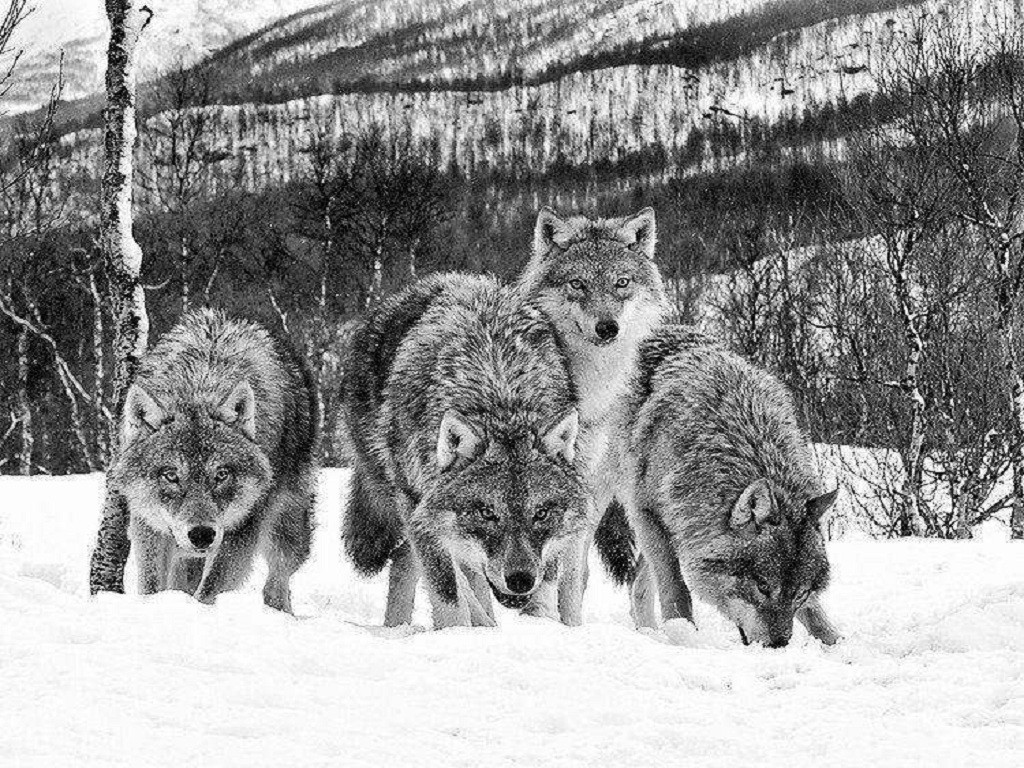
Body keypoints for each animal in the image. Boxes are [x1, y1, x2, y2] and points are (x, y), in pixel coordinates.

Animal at [102, 309, 319, 612]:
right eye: (171, 475)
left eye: (221, 475)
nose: (202, 534)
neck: (200, 384)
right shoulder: (149, 523)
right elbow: (152, 585)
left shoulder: (242, 527)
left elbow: (208, 590)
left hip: (286, 528)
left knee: (277, 581)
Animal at [341, 272, 589, 629]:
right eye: (487, 513)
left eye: (541, 513)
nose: (521, 580)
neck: (498, 389)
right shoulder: (419, 509)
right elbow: (450, 594)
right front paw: (459, 635)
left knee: (412, 561)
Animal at [614, 329, 841, 647]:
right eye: (762, 586)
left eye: (800, 592)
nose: (779, 646)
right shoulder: (647, 513)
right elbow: (676, 589)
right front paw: (685, 637)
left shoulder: (678, 526)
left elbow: (815, 615)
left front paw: (835, 642)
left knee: (636, 581)